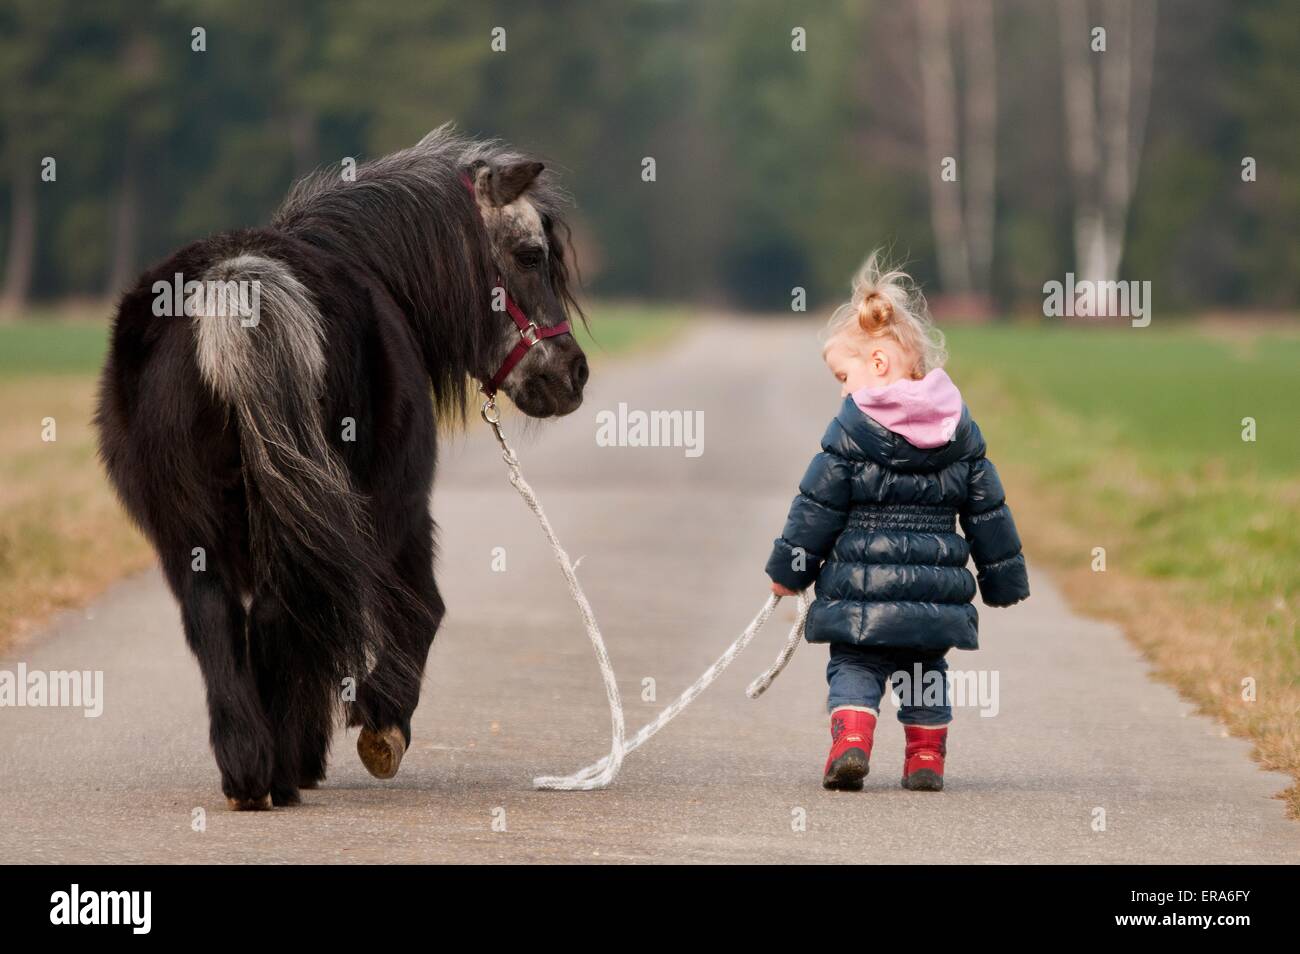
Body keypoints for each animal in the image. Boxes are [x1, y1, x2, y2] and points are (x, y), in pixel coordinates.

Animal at [94, 124, 589, 810]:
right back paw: (276, 772)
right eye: (530, 254)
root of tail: (235, 283)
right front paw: (381, 727)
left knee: (214, 617)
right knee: (280, 613)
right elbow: (423, 609)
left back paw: (246, 771)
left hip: (192, 529)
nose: (573, 374)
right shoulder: (401, 508)